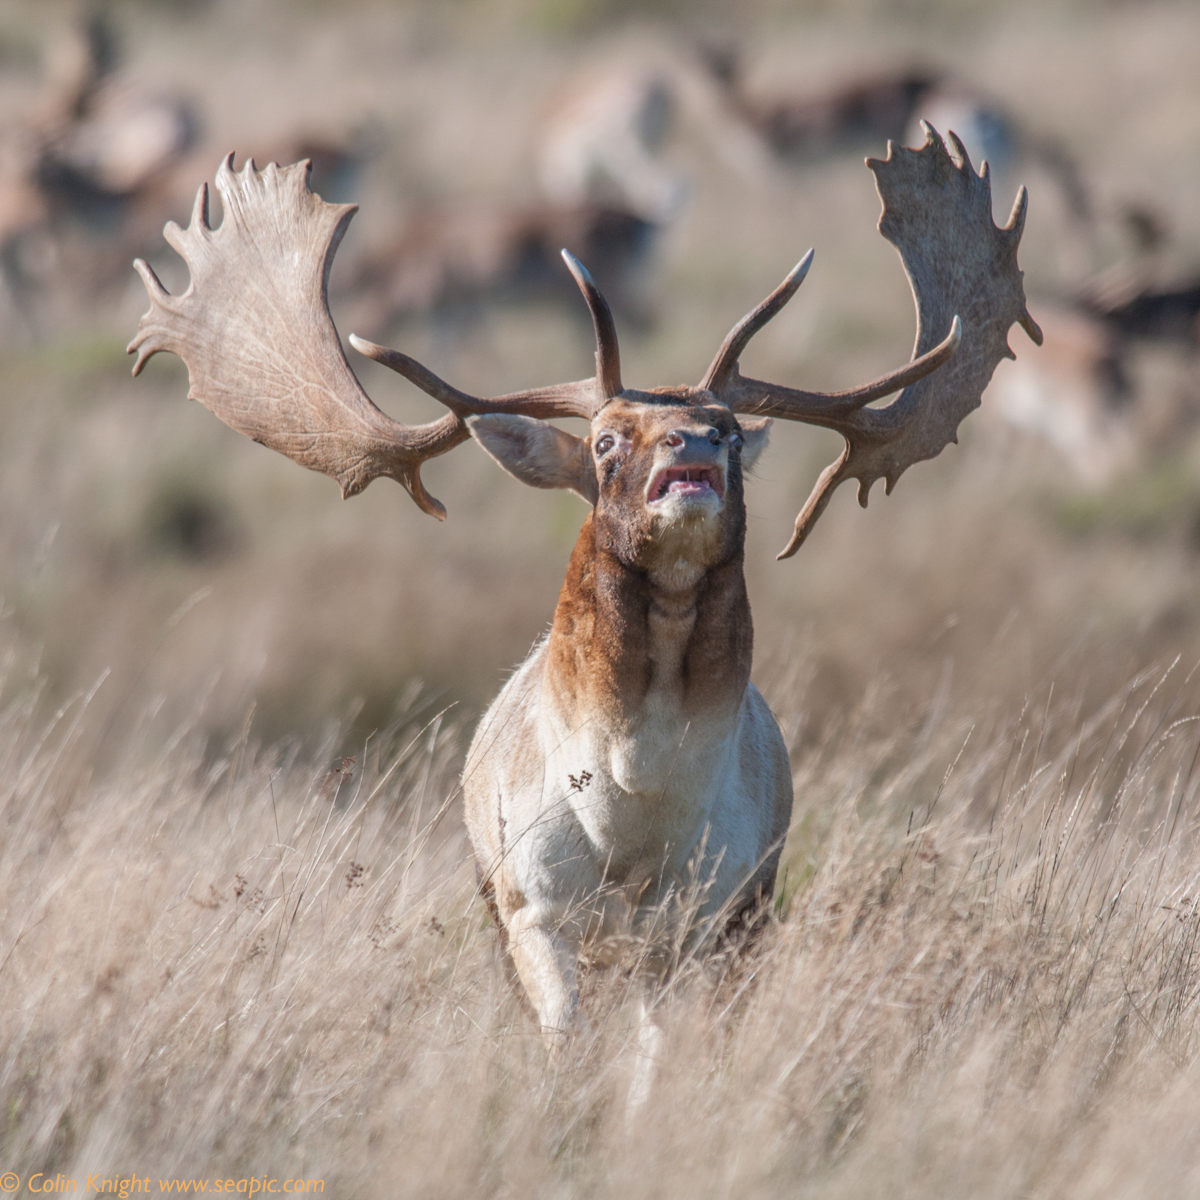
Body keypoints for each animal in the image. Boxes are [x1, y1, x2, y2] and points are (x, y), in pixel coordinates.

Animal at [127, 124, 1041, 1044]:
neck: (631, 809)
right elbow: (563, 1034)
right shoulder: (531, 906)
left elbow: (657, 1048)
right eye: (605, 439)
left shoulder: (708, 914)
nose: (691, 443)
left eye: (729, 429)